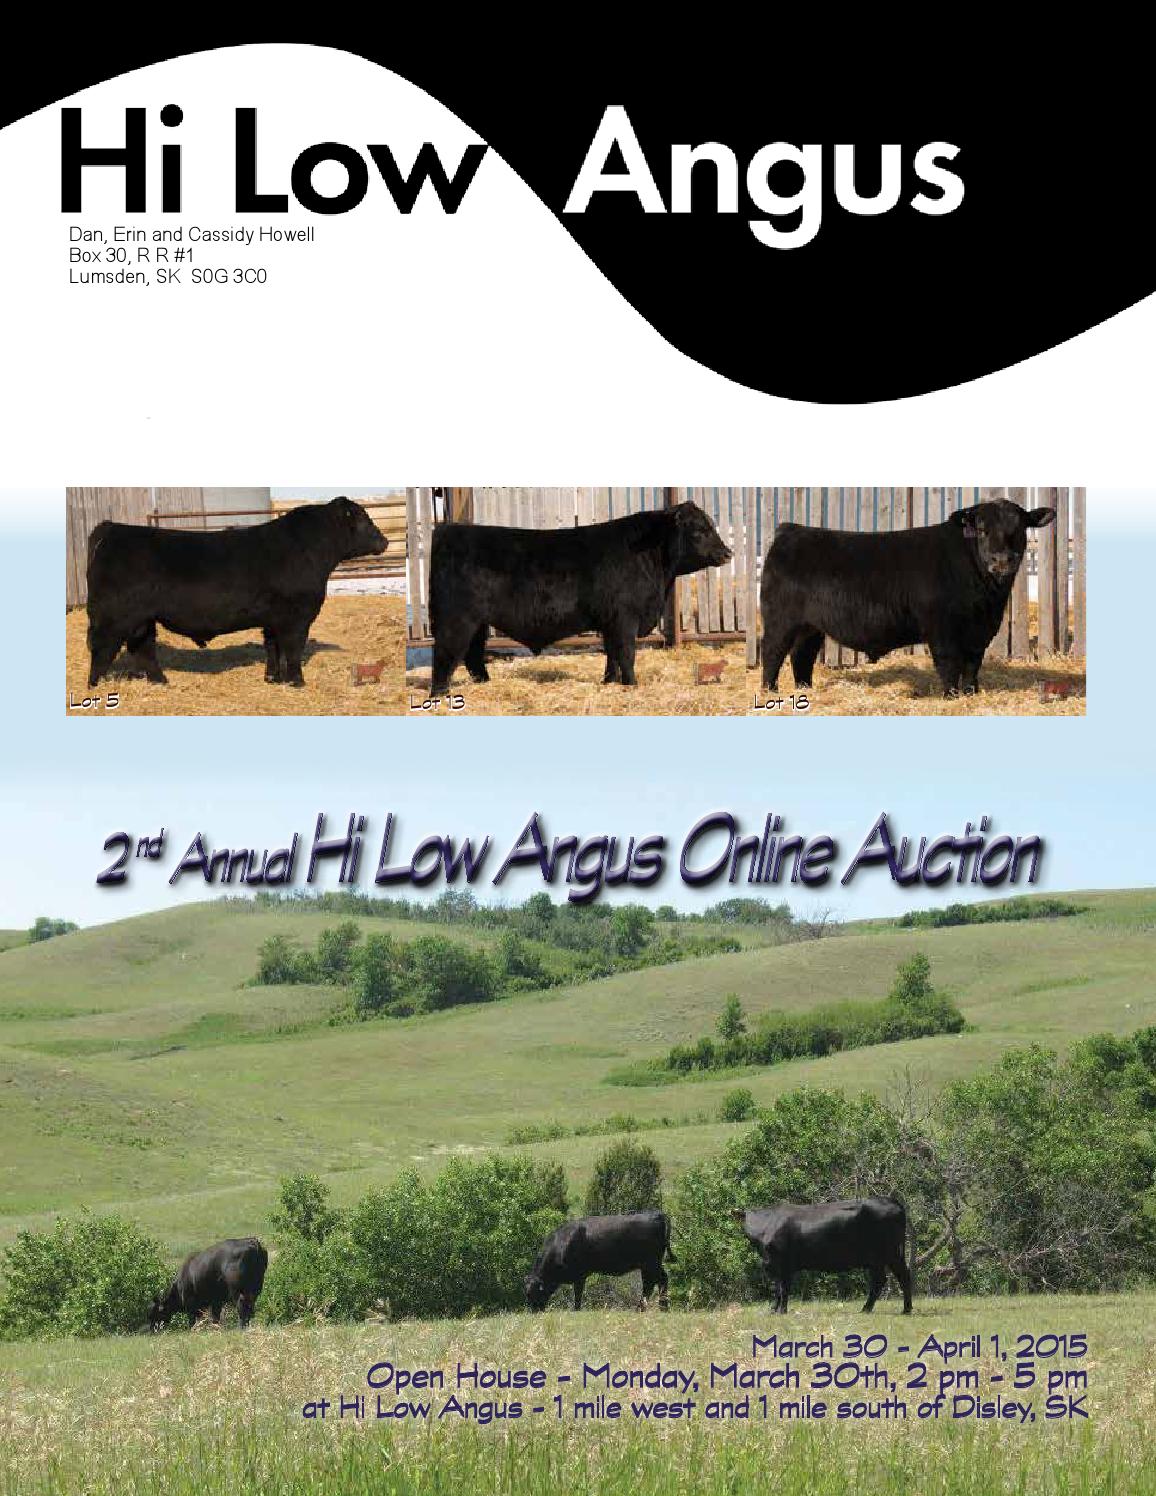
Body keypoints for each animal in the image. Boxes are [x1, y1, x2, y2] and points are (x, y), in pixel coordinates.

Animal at [86, 497, 387, 688]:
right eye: (364, 519)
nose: (384, 541)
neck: (310, 548)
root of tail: (111, 528)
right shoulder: (297, 617)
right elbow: (292, 649)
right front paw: (297, 681)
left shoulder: (273, 619)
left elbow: (273, 648)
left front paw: (273, 679)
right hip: (113, 616)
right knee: (102, 647)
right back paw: (95, 686)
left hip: (143, 619)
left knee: (143, 648)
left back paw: (160, 681)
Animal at [428, 503, 731, 695]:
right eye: (700, 530)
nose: (728, 553)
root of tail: (448, 529)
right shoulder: (625, 618)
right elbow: (627, 653)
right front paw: (632, 685)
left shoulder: (611, 622)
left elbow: (612, 654)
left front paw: (610, 682)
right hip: (457, 619)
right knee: (446, 654)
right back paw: (440, 694)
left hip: (478, 622)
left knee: (472, 654)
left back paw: (484, 684)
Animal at [525, 1210, 675, 1312]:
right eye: (527, 1294)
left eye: (535, 1293)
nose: (534, 1311)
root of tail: (657, 1214)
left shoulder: (580, 1275)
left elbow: (578, 1294)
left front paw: (576, 1309)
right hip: (649, 1265)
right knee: (654, 1282)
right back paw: (654, 1307)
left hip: (651, 1263)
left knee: (656, 1281)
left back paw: (652, 1307)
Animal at [733, 1198, 912, 1314]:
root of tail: (894, 1203)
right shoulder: (776, 1265)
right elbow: (779, 1288)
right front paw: (774, 1310)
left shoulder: (782, 1264)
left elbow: (783, 1288)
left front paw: (780, 1311)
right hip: (879, 1259)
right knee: (884, 1280)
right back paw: (875, 1309)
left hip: (890, 1253)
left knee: (900, 1277)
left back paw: (901, 1309)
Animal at [758, 500, 1055, 697]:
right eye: (981, 529)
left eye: (1020, 528)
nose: (1001, 560)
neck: (986, 600)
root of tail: (791, 530)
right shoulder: (942, 629)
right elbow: (949, 664)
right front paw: (951, 696)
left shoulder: (978, 633)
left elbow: (972, 665)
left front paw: (971, 693)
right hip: (780, 620)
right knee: (772, 651)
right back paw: (769, 691)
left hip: (810, 626)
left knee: (802, 655)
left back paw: (804, 689)